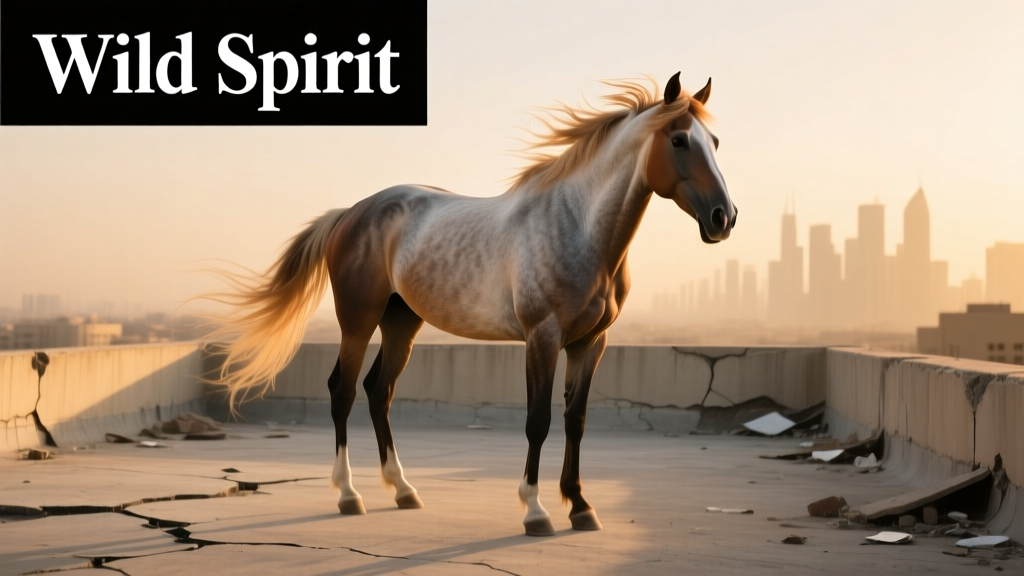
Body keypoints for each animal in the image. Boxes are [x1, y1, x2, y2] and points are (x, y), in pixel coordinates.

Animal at [202, 72, 737, 536]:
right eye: (679, 141)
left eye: (714, 142)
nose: (724, 217)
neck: (578, 227)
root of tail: (349, 214)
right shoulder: (542, 338)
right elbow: (538, 422)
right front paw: (535, 511)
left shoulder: (591, 344)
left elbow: (576, 421)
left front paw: (581, 506)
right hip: (357, 321)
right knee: (344, 391)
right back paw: (348, 495)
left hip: (402, 322)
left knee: (379, 391)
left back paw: (403, 489)